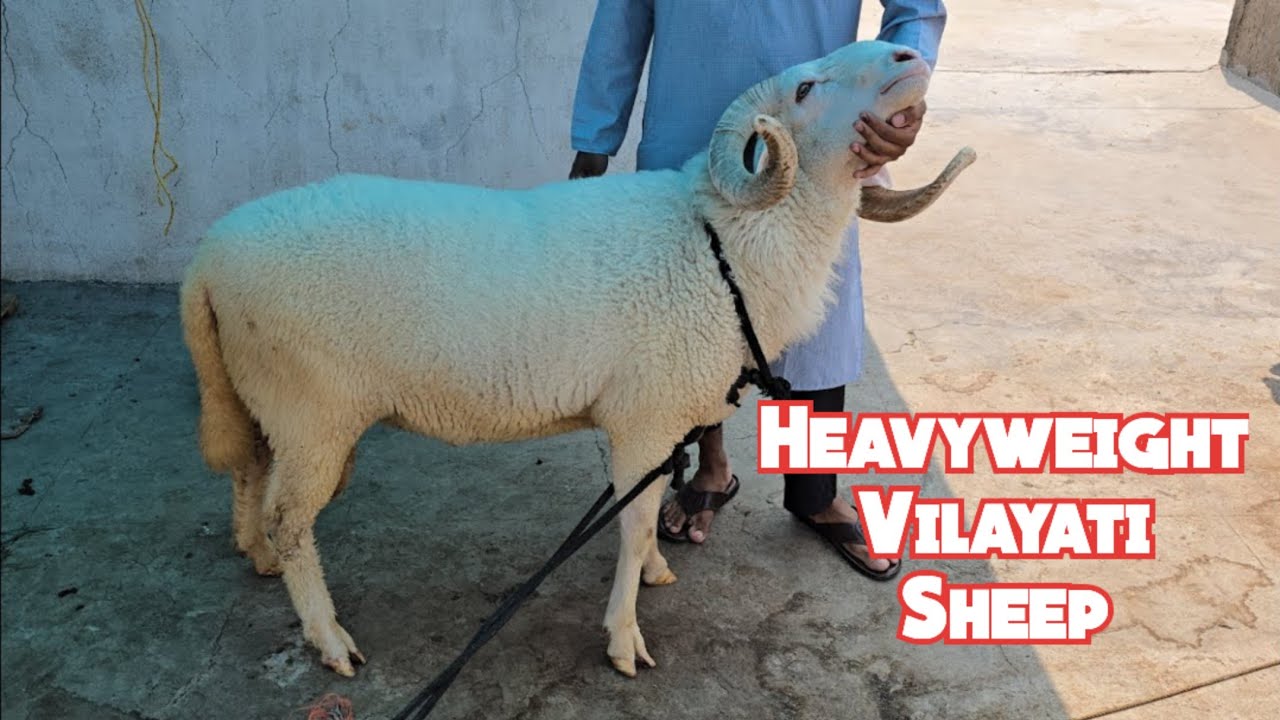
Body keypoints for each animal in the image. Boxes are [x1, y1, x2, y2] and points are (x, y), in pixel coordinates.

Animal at [180, 39, 975, 678]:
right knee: (292, 517)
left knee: (251, 472)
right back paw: (329, 638)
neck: (720, 242)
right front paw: (624, 640)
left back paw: (257, 555)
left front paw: (655, 571)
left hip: (263, 398)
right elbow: (632, 522)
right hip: (312, 408)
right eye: (807, 89)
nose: (909, 55)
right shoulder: (644, 422)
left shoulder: (664, 419)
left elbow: (646, 520)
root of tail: (208, 260)